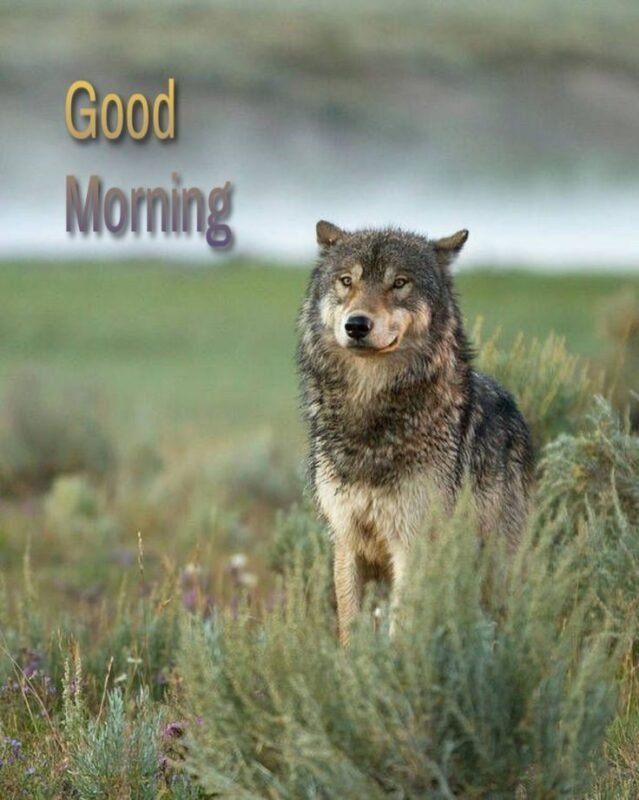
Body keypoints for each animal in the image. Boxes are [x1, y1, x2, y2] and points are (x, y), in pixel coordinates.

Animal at [297, 221, 534, 644]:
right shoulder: (347, 541)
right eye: (347, 281)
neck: (371, 416)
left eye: (399, 283)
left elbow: (400, 630)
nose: (356, 325)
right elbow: (350, 628)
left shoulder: (410, 542)